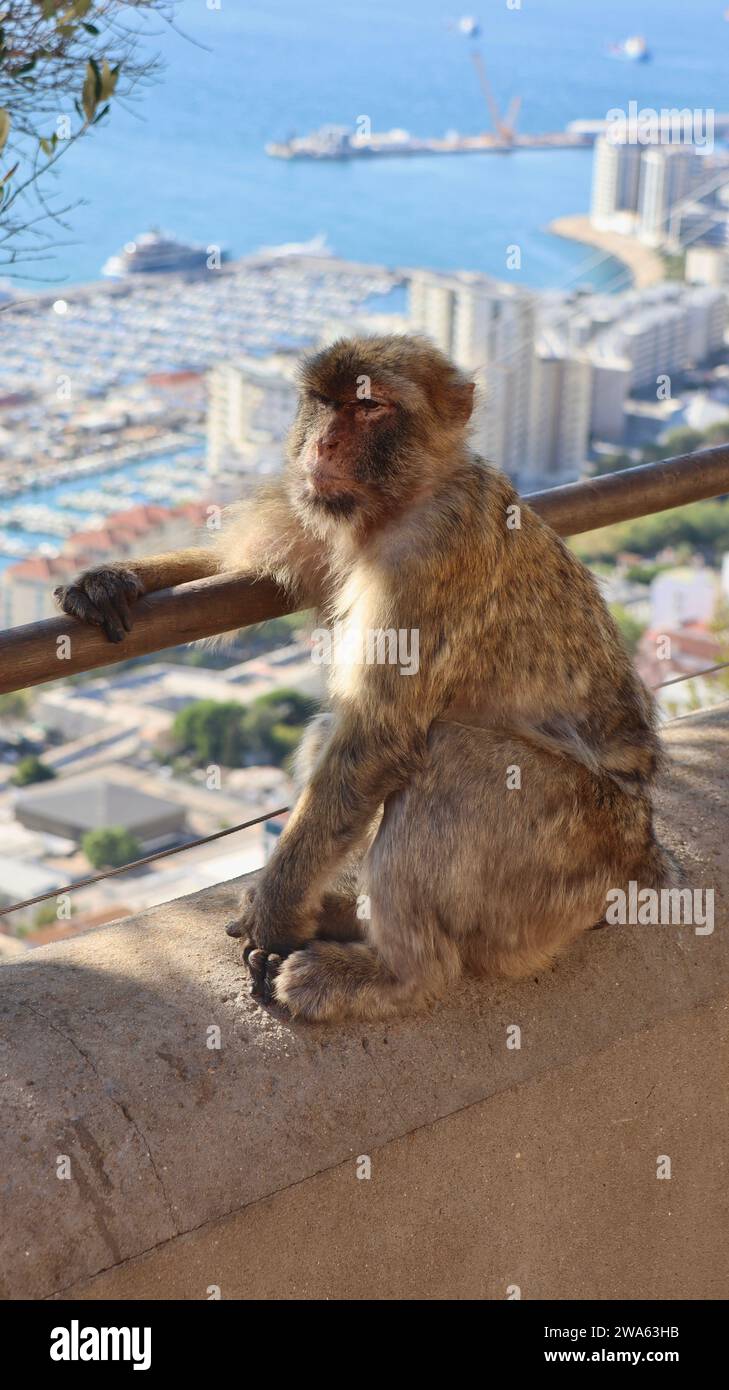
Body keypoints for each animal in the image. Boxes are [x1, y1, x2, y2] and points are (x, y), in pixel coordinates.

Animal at [55, 333, 675, 1023]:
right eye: (322, 403)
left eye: (370, 406)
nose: (322, 445)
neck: (403, 501)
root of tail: (643, 861)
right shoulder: (321, 515)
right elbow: (237, 569)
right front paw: (116, 580)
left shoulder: (431, 554)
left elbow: (380, 734)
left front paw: (274, 914)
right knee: (337, 732)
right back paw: (344, 914)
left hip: (571, 857)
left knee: (450, 756)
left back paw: (394, 972)